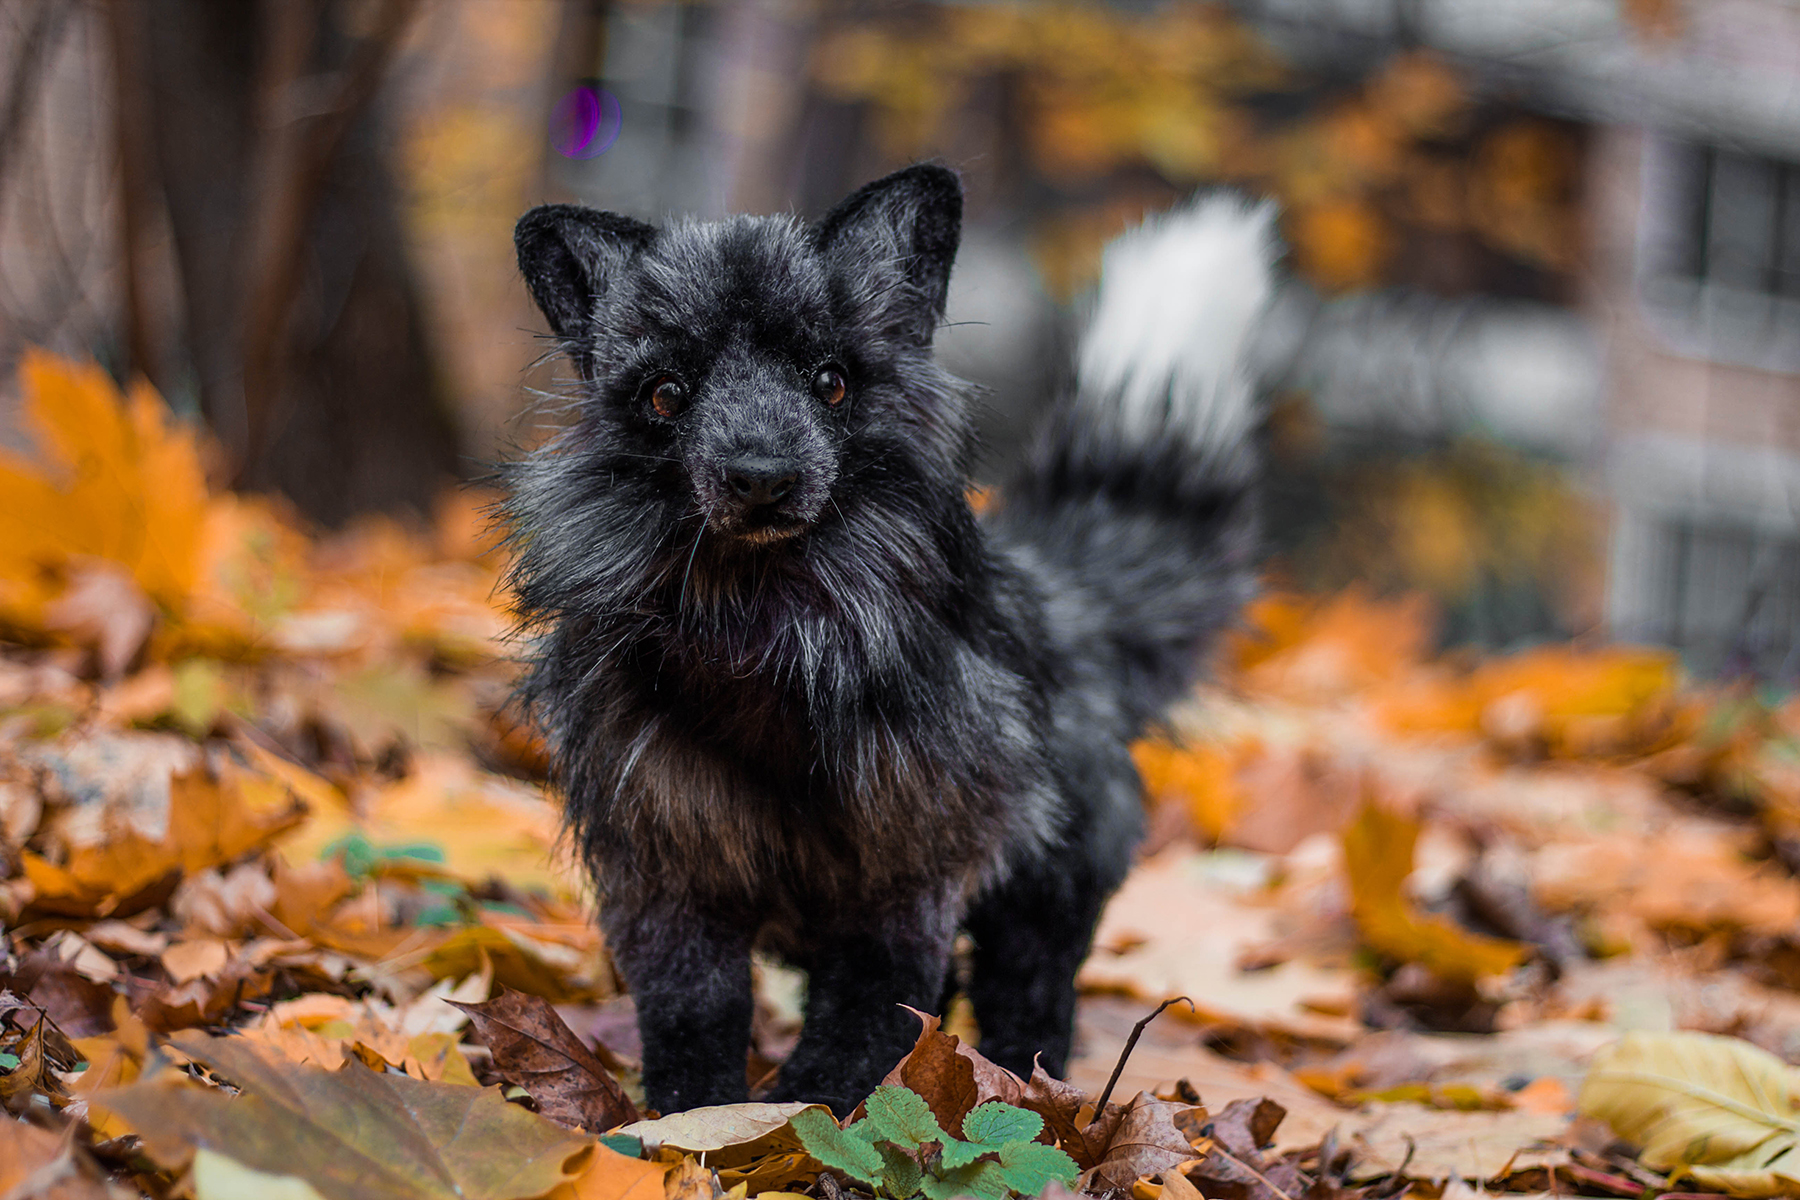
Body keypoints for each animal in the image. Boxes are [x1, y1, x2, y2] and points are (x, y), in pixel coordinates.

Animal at [503, 164, 1275, 1115]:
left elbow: (863, 1020)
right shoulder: (668, 874)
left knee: (1029, 998)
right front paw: (702, 1121)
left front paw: (806, 1116)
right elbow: (694, 1019)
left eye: (831, 381)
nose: (760, 478)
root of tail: (1061, 596)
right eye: (667, 393)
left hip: (1041, 896)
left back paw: (1031, 1094)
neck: (766, 643)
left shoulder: (904, 871)